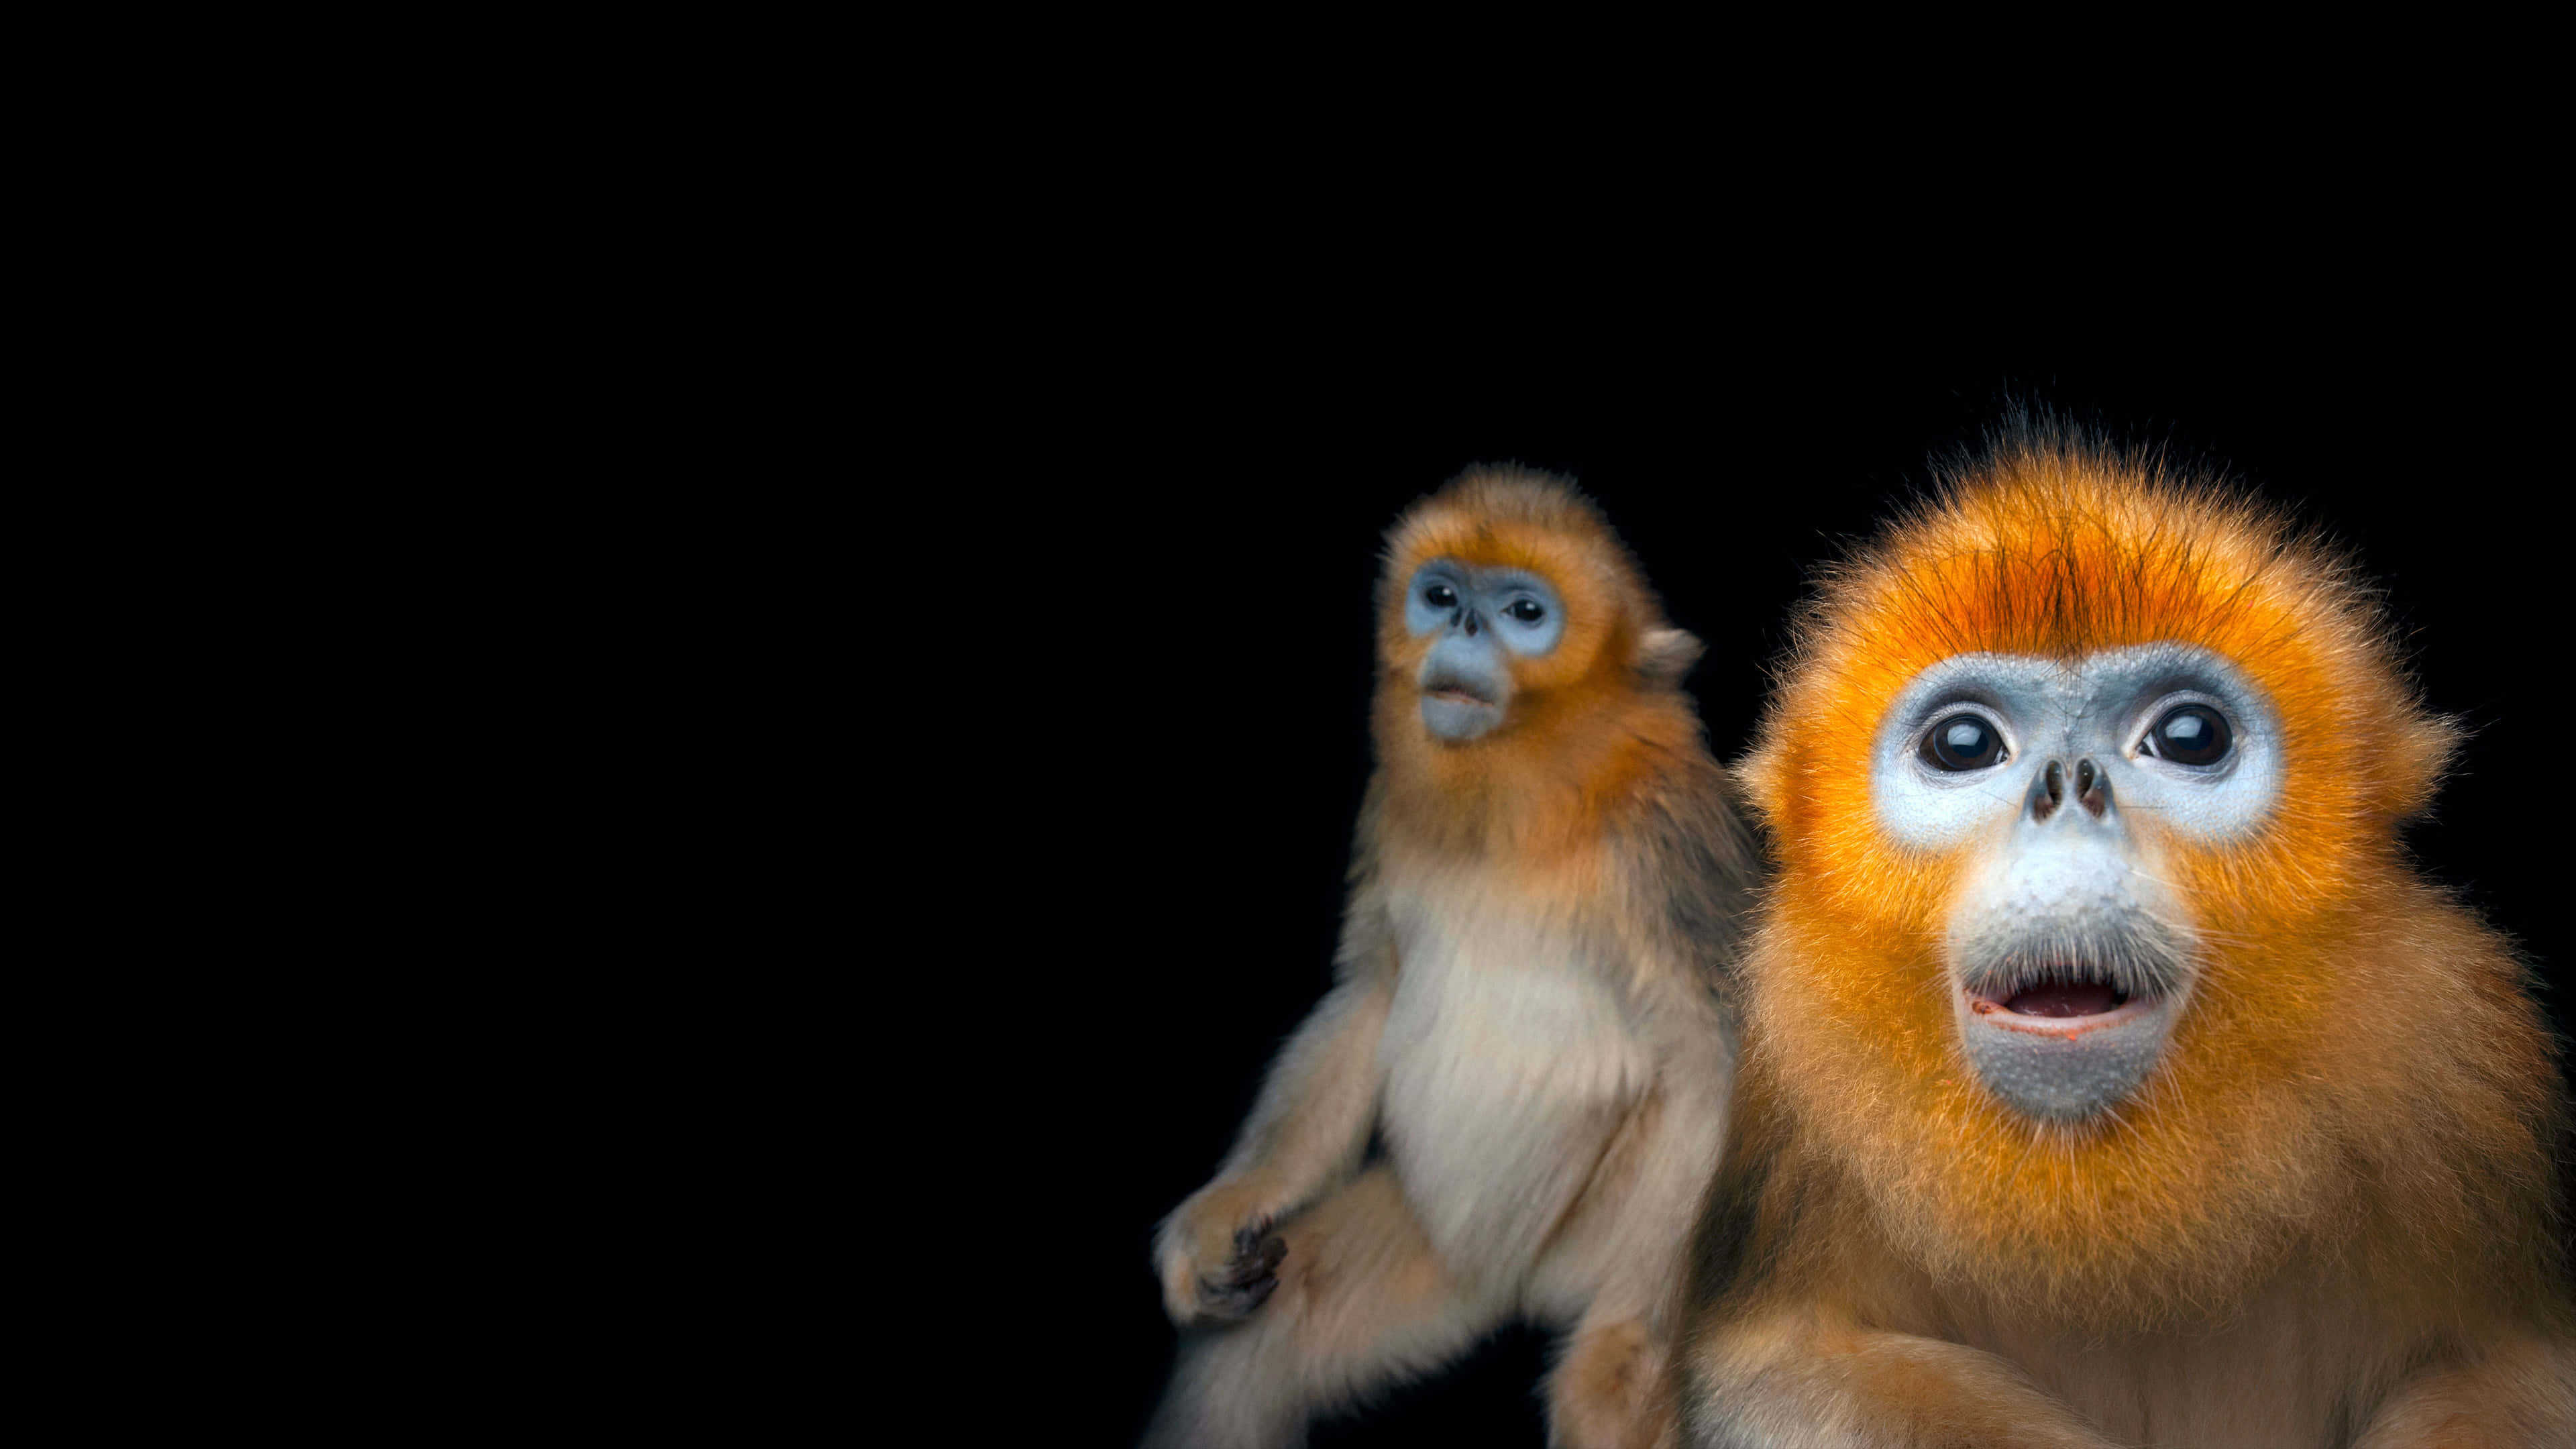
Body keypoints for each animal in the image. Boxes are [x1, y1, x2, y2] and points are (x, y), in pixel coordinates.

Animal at [1141, 466, 1761, 1449]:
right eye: (1440, 595)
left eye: (1523, 612)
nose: (1463, 626)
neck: (1521, 800)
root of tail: (1521, 1287)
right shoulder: (1386, 804)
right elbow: (1371, 991)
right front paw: (1223, 1211)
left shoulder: (1668, 840)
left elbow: (1720, 1065)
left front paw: (1624, 1363)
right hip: (1444, 1251)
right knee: (1261, 1340)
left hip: (1611, 1236)